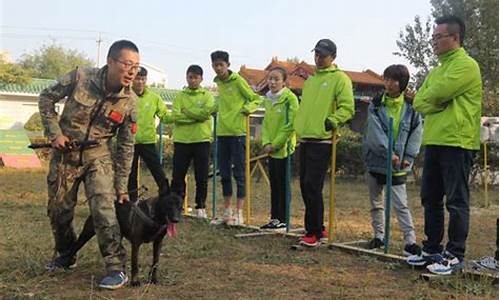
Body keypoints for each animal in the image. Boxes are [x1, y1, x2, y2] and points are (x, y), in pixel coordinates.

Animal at [51, 192, 184, 286]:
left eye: (180, 206)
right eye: (168, 204)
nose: (176, 220)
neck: (154, 217)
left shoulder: (158, 243)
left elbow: (155, 262)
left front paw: (153, 280)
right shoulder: (136, 244)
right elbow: (135, 264)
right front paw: (135, 282)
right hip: (86, 234)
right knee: (74, 247)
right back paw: (66, 264)